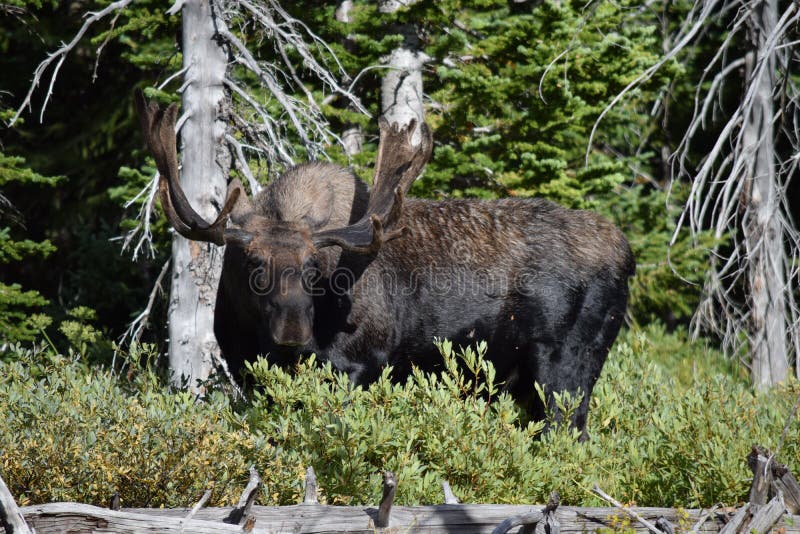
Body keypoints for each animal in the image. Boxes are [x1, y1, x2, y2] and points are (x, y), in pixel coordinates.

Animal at [135, 90, 635, 437]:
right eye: (253, 261)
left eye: (314, 265)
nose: (294, 329)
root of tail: (627, 255)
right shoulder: (248, 372)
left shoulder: (359, 364)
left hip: (567, 366)